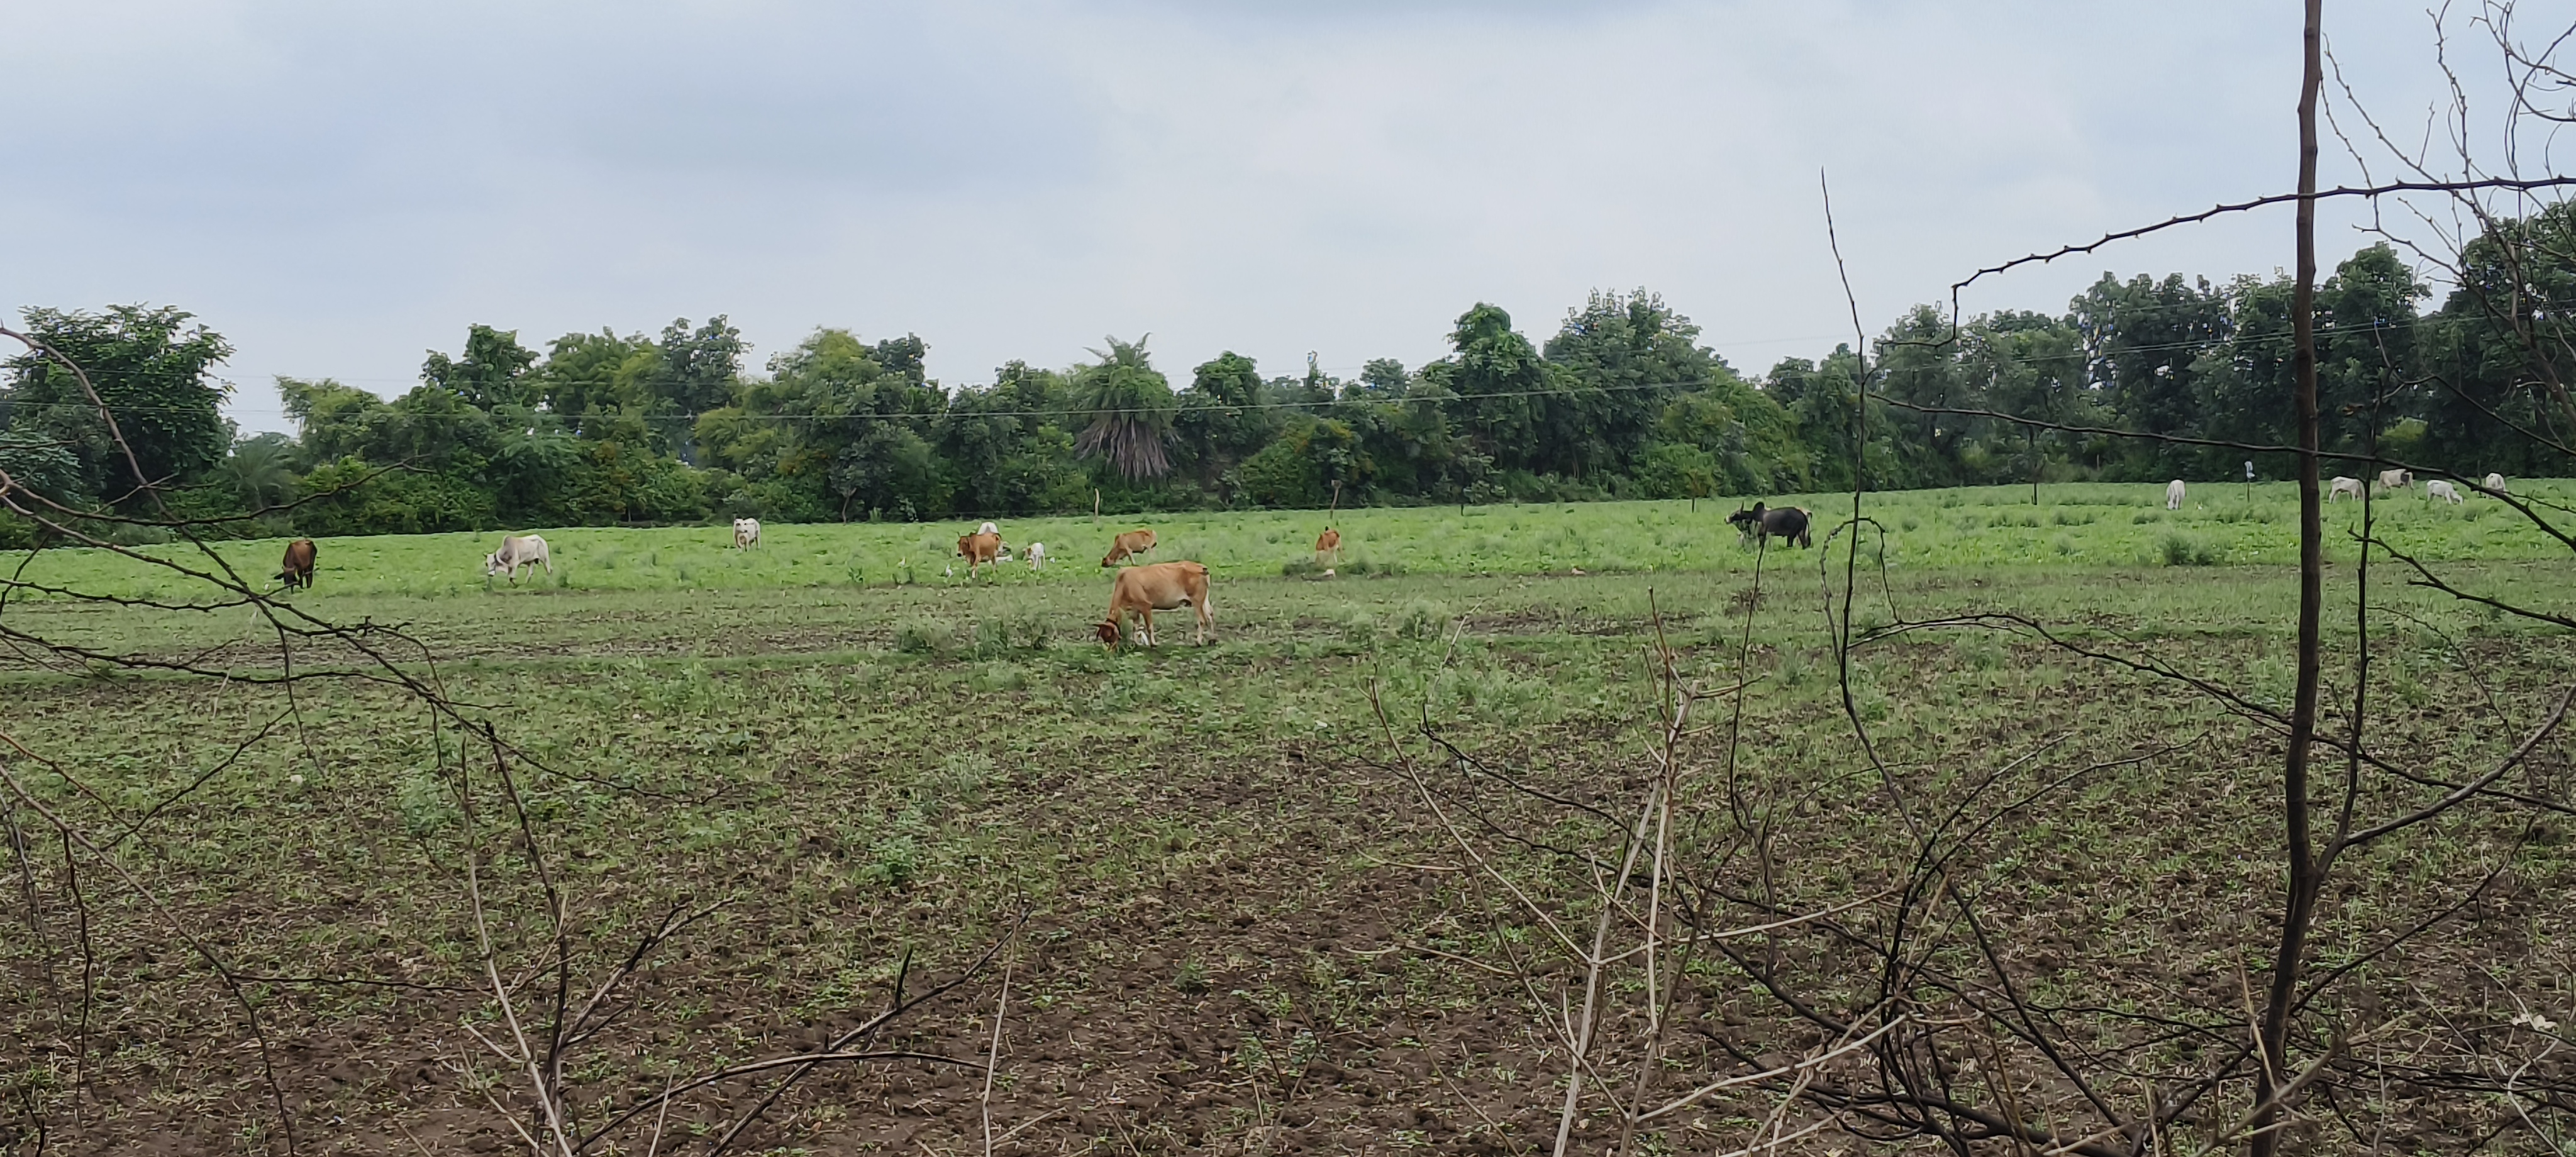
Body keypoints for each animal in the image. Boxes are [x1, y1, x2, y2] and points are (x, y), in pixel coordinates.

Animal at [1098, 560, 1213, 650]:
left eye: (1109, 637)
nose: (1110, 651)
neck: (1124, 584)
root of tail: (1201, 567)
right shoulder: (1135, 611)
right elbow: (1135, 628)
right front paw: (1135, 643)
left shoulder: (1146, 607)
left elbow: (1149, 627)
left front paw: (1153, 644)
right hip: (1204, 600)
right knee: (1210, 614)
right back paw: (1213, 640)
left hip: (1197, 601)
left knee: (1202, 620)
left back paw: (1198, 642)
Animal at [1726, 502, 1812, 550]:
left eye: (1736, 514)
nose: (1726, 519)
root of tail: (1803, 515)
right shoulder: (1760, 536)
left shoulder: (1766, 534)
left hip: (1794, 534)